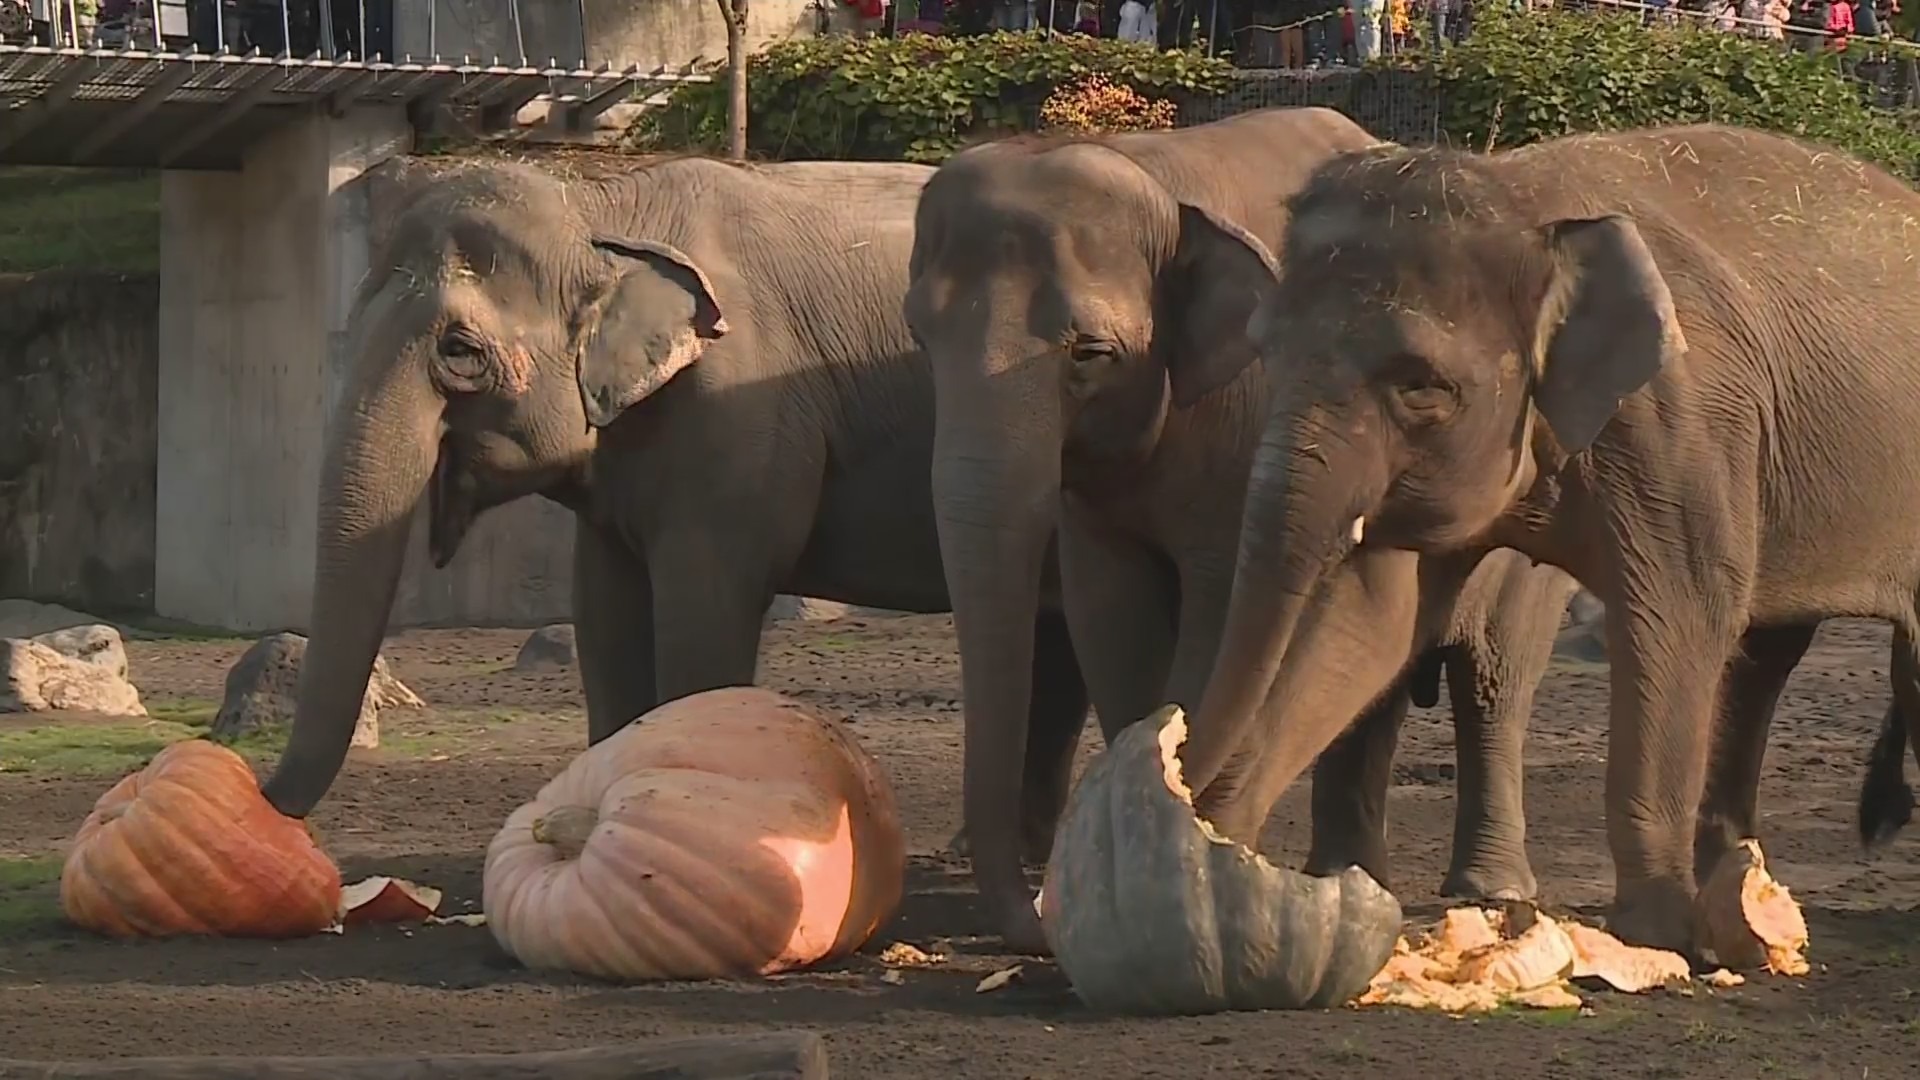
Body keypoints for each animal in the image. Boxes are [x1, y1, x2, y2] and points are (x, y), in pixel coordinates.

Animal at [256, 156, 1094, 845]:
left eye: (459, 352)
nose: (260, 796)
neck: (603, 214)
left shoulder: (739, 417)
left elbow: (704, 611)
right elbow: (606, 618)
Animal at [904, 105, 1583, 953]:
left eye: (1089, 354)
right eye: (920, 339)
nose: (1033, 914)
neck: (1152, 173)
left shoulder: (1246, 426)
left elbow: (1214, 615)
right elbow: (1112, 619)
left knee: (1491, 679)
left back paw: (1488, 893)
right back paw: (1350, 877)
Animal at [1162, 122, 1920, 953]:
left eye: (1421, 387)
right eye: (1267, 353)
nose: (1183, 793)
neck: (1524, 198)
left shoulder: (1681, 423)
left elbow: (1677, 622)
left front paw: (1655, 936)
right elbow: (1368, 623)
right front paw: (1229, 862)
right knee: (1768, 657)